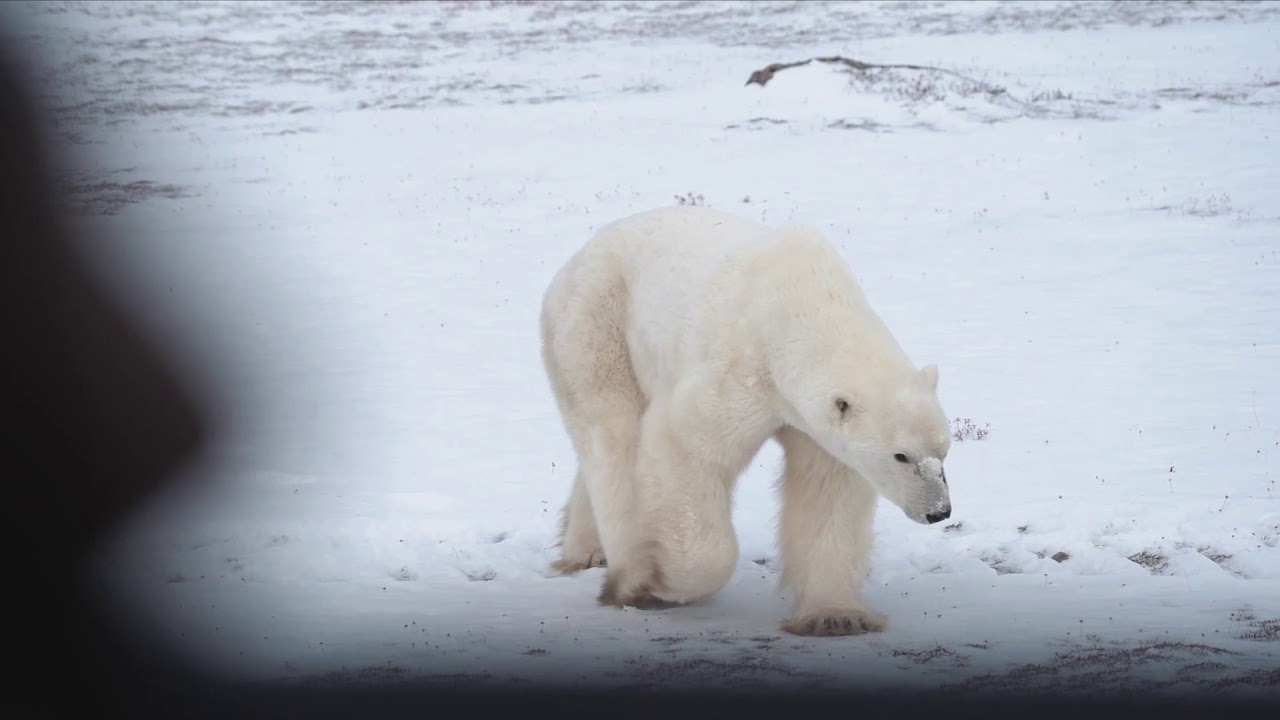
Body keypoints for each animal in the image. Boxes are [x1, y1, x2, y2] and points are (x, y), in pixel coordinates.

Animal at [539, 205, 952, 636]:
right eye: (901, 456)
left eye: (945, 450)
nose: (939, 511)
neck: (800, 304)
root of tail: (578, 257)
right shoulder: (739, 371)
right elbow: (685, 448)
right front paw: (662, 584)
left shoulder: (812, 424)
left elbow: (828, 490)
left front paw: (836, 616)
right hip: (598, 325)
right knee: (614, 440)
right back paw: (628, 576)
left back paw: (584, 551)